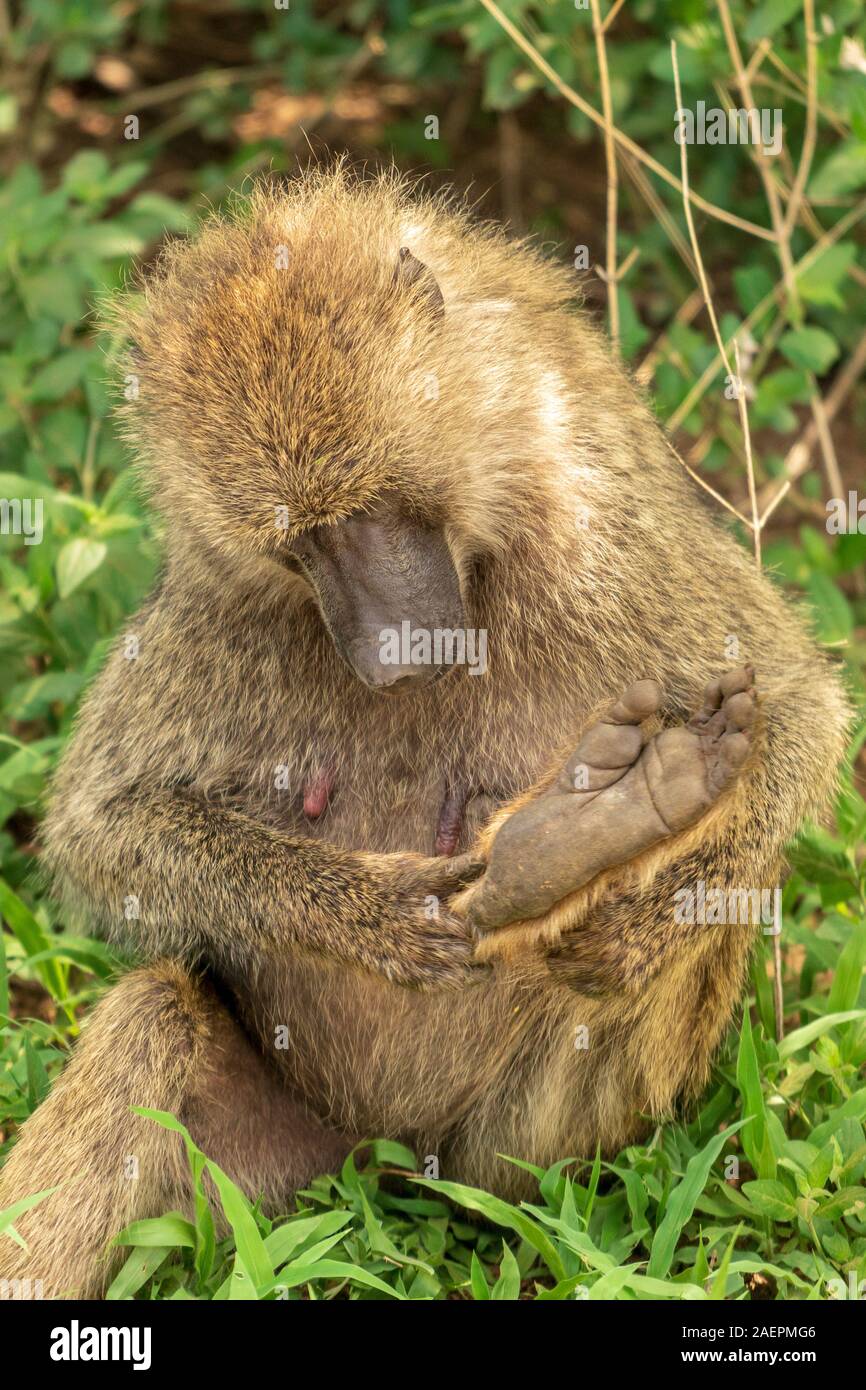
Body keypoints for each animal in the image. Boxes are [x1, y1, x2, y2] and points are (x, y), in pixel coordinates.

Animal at [0, 166, 851, 1299]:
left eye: (373, 508)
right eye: (297, 545)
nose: (391, 655)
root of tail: (387, 1164)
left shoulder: (609, 525)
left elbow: (799, 709)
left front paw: (636, 924)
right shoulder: (219, 594)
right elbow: (103, 818)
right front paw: (369, 914)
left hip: (531, 1152)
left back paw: (594, 843)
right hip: (258, 1181)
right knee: (156, 1014)